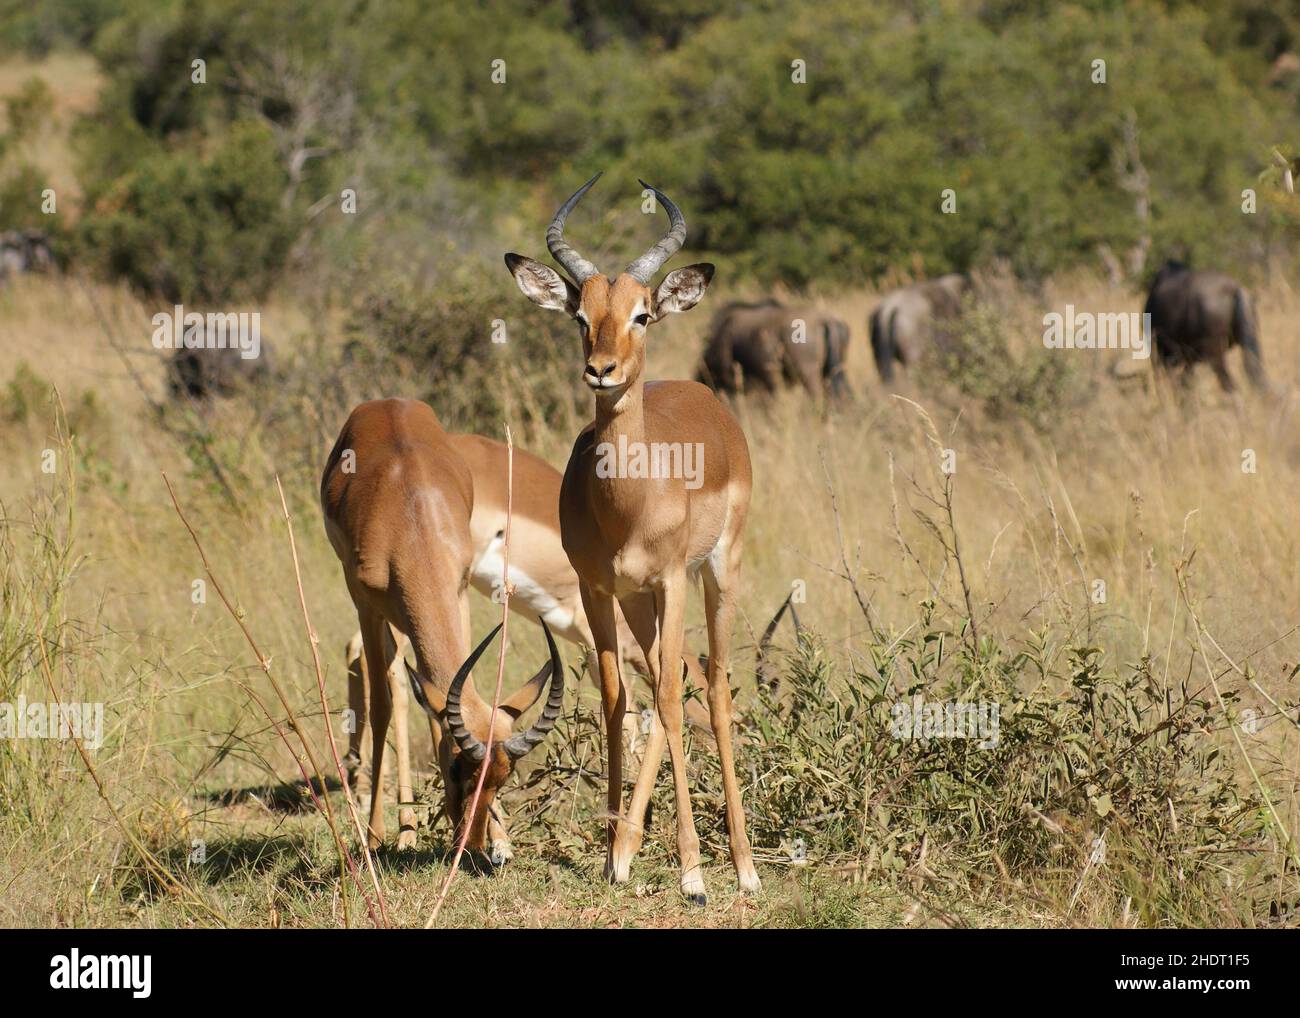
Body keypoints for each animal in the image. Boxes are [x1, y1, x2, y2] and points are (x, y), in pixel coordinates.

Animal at [321, 398, 565, 862]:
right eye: (455, 767)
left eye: (502, 779)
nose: (472, 848)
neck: (410, 515)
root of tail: (387, 402)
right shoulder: (365, 603)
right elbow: (381, 707)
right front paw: (375, 837)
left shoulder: (460, 591)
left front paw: (502, 841)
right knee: (389, 684)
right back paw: (396, 828)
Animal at [506, 174, 760, 903]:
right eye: (579, 314)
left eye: (643, 312)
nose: (603, 369)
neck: (629, 502)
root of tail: (707, 399)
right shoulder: (598, 588)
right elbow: (618, 700)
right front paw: (612, 856)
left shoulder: (672, 579)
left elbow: (673, 701)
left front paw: (693, 873)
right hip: (639, 603)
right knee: (662, 682)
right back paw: (630, 845)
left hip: (716, 574)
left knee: (712, 687)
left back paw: (744, 867)